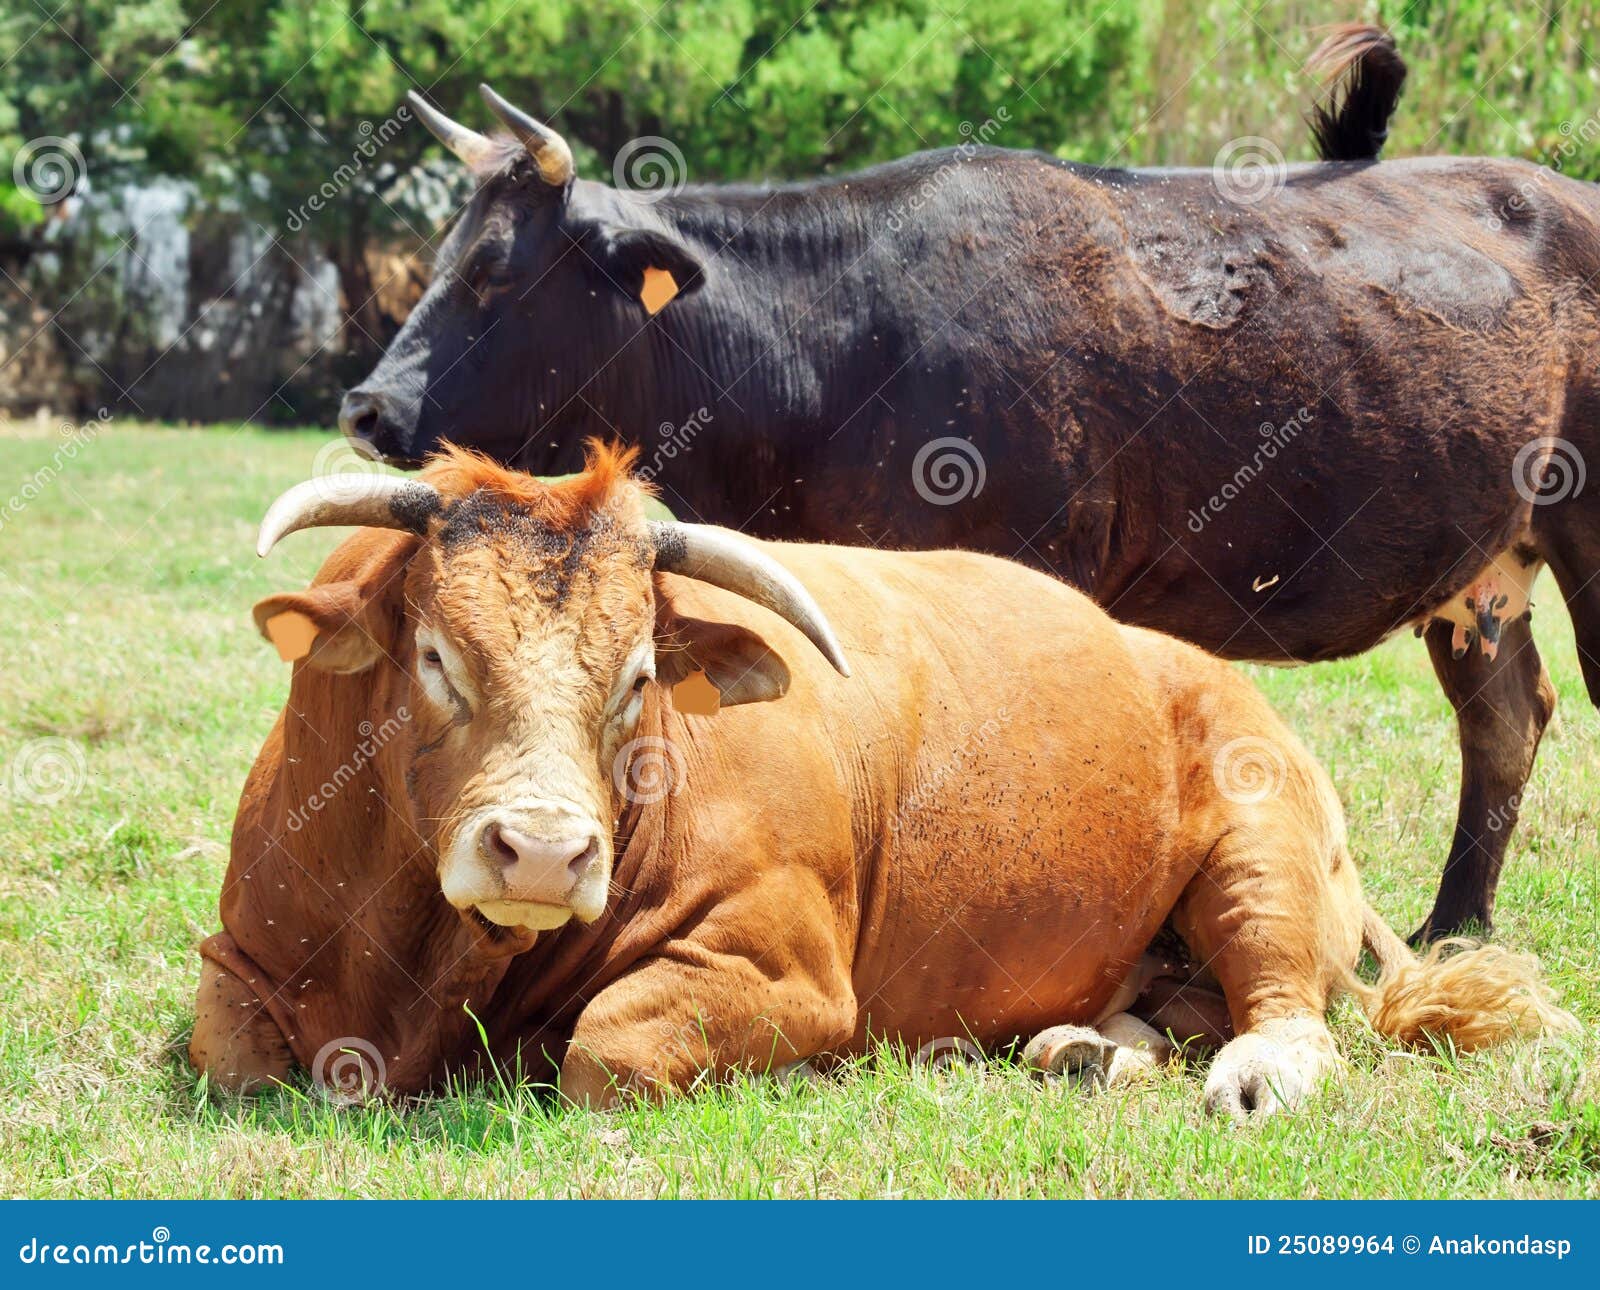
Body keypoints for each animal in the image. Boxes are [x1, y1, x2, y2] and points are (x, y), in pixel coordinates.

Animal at [189, 444, 1571, 1117]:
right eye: (434, 657)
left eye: (636, 676)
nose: (539, 851)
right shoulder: (239, 962)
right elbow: (235, 1058)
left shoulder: (787, 969)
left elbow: (611, 1052)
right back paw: (1082, 1049)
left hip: (1262, 839)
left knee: (1280, 1000)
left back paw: (1251, 1071)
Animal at [335, 27, 1600, 943]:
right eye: (446, 257)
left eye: (497, 274)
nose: (367, 407)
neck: (836, 340)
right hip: (1482, 574)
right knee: (1505, 720)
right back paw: (1453, 926)